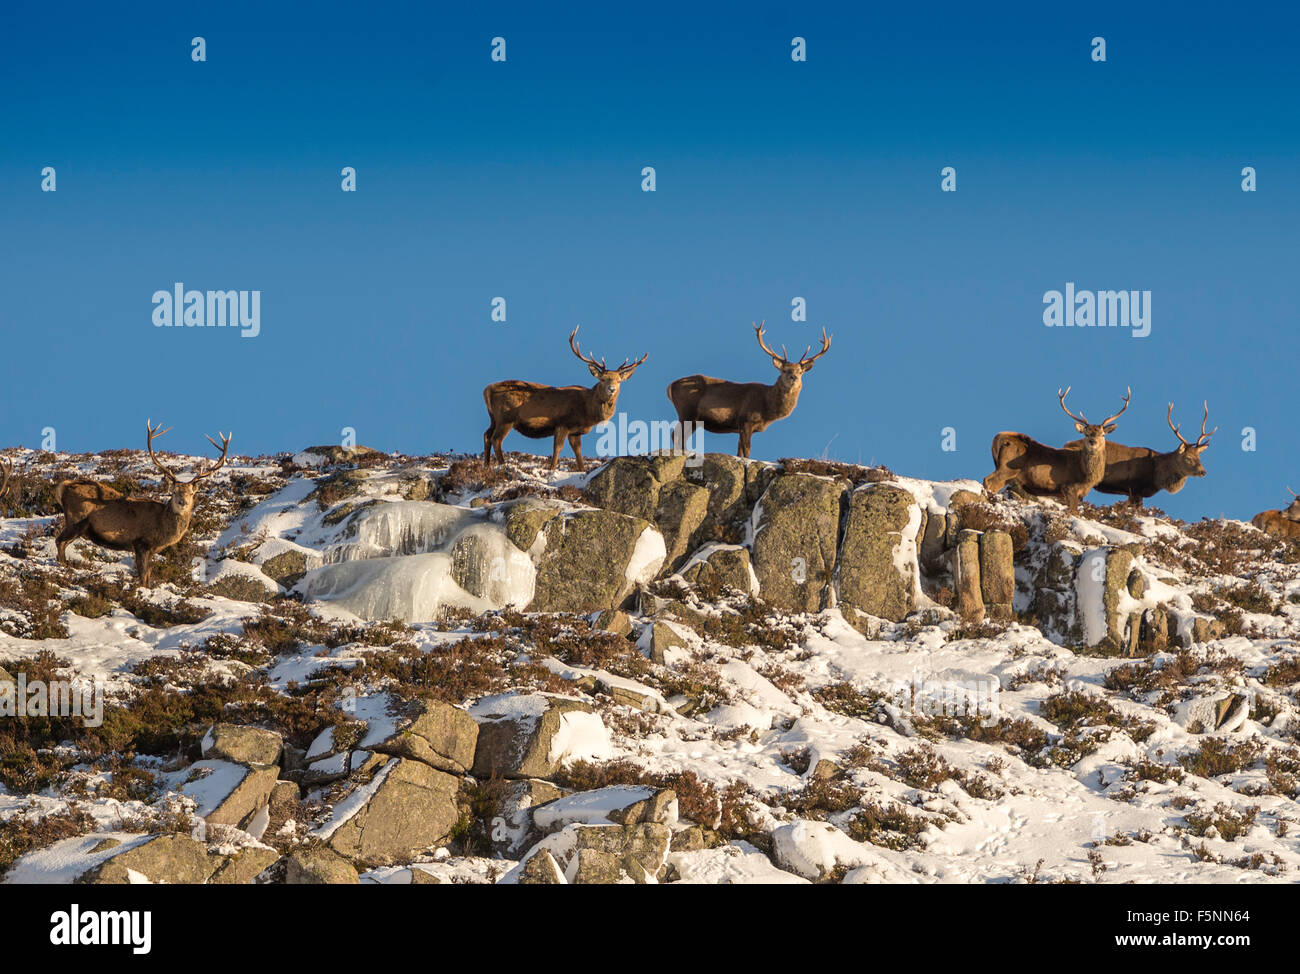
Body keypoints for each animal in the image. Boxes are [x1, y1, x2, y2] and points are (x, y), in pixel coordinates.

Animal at [55, 421, 231, 585]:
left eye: (192, 493)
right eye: (174, 492)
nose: (183, 502)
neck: (162, 530)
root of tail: (63, 487)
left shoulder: (151, 550)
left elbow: (148, 575)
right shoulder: (141, 543)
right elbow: (143, 577)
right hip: (77, 518)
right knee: (59, 541)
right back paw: (64, 569)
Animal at [482, 327, 648, 472]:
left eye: (619, 381)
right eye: (602, 379)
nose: (612, 389)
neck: (588, 411)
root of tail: (487, 390)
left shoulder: (575, 431)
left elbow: (578, 452)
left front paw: (581, 470)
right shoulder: (562, 423)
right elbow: (557, 448)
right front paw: (552, 469)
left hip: (494, 418)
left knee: (486, 435)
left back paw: (486, 466)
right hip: (506, 417)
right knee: (496, 439)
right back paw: (502, 465)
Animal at [666, 321, 832, 459]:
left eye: (800, 371)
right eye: (784, 370)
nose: (793, 378)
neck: (767, 408)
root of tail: (670, 386)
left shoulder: (741, 426)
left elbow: (739, 450)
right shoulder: (746, 419)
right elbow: (747, 450)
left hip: (694, 419)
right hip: (687, 410)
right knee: (676, 434)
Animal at [983, 387, 1130, 512]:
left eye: (1103, 434)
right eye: (1086, 433)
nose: (1092, 442)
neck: (1086, 475)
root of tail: (999, 437)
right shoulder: (1069, 487)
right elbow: (1074, 512)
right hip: (1008, 468)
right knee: (989, 481)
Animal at [1065, 402, 1217, 508]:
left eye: (1199, 457)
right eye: (1188, 458)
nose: (1203, 471)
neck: (1157, 477)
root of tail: (1066, 444)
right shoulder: (1135, 489)